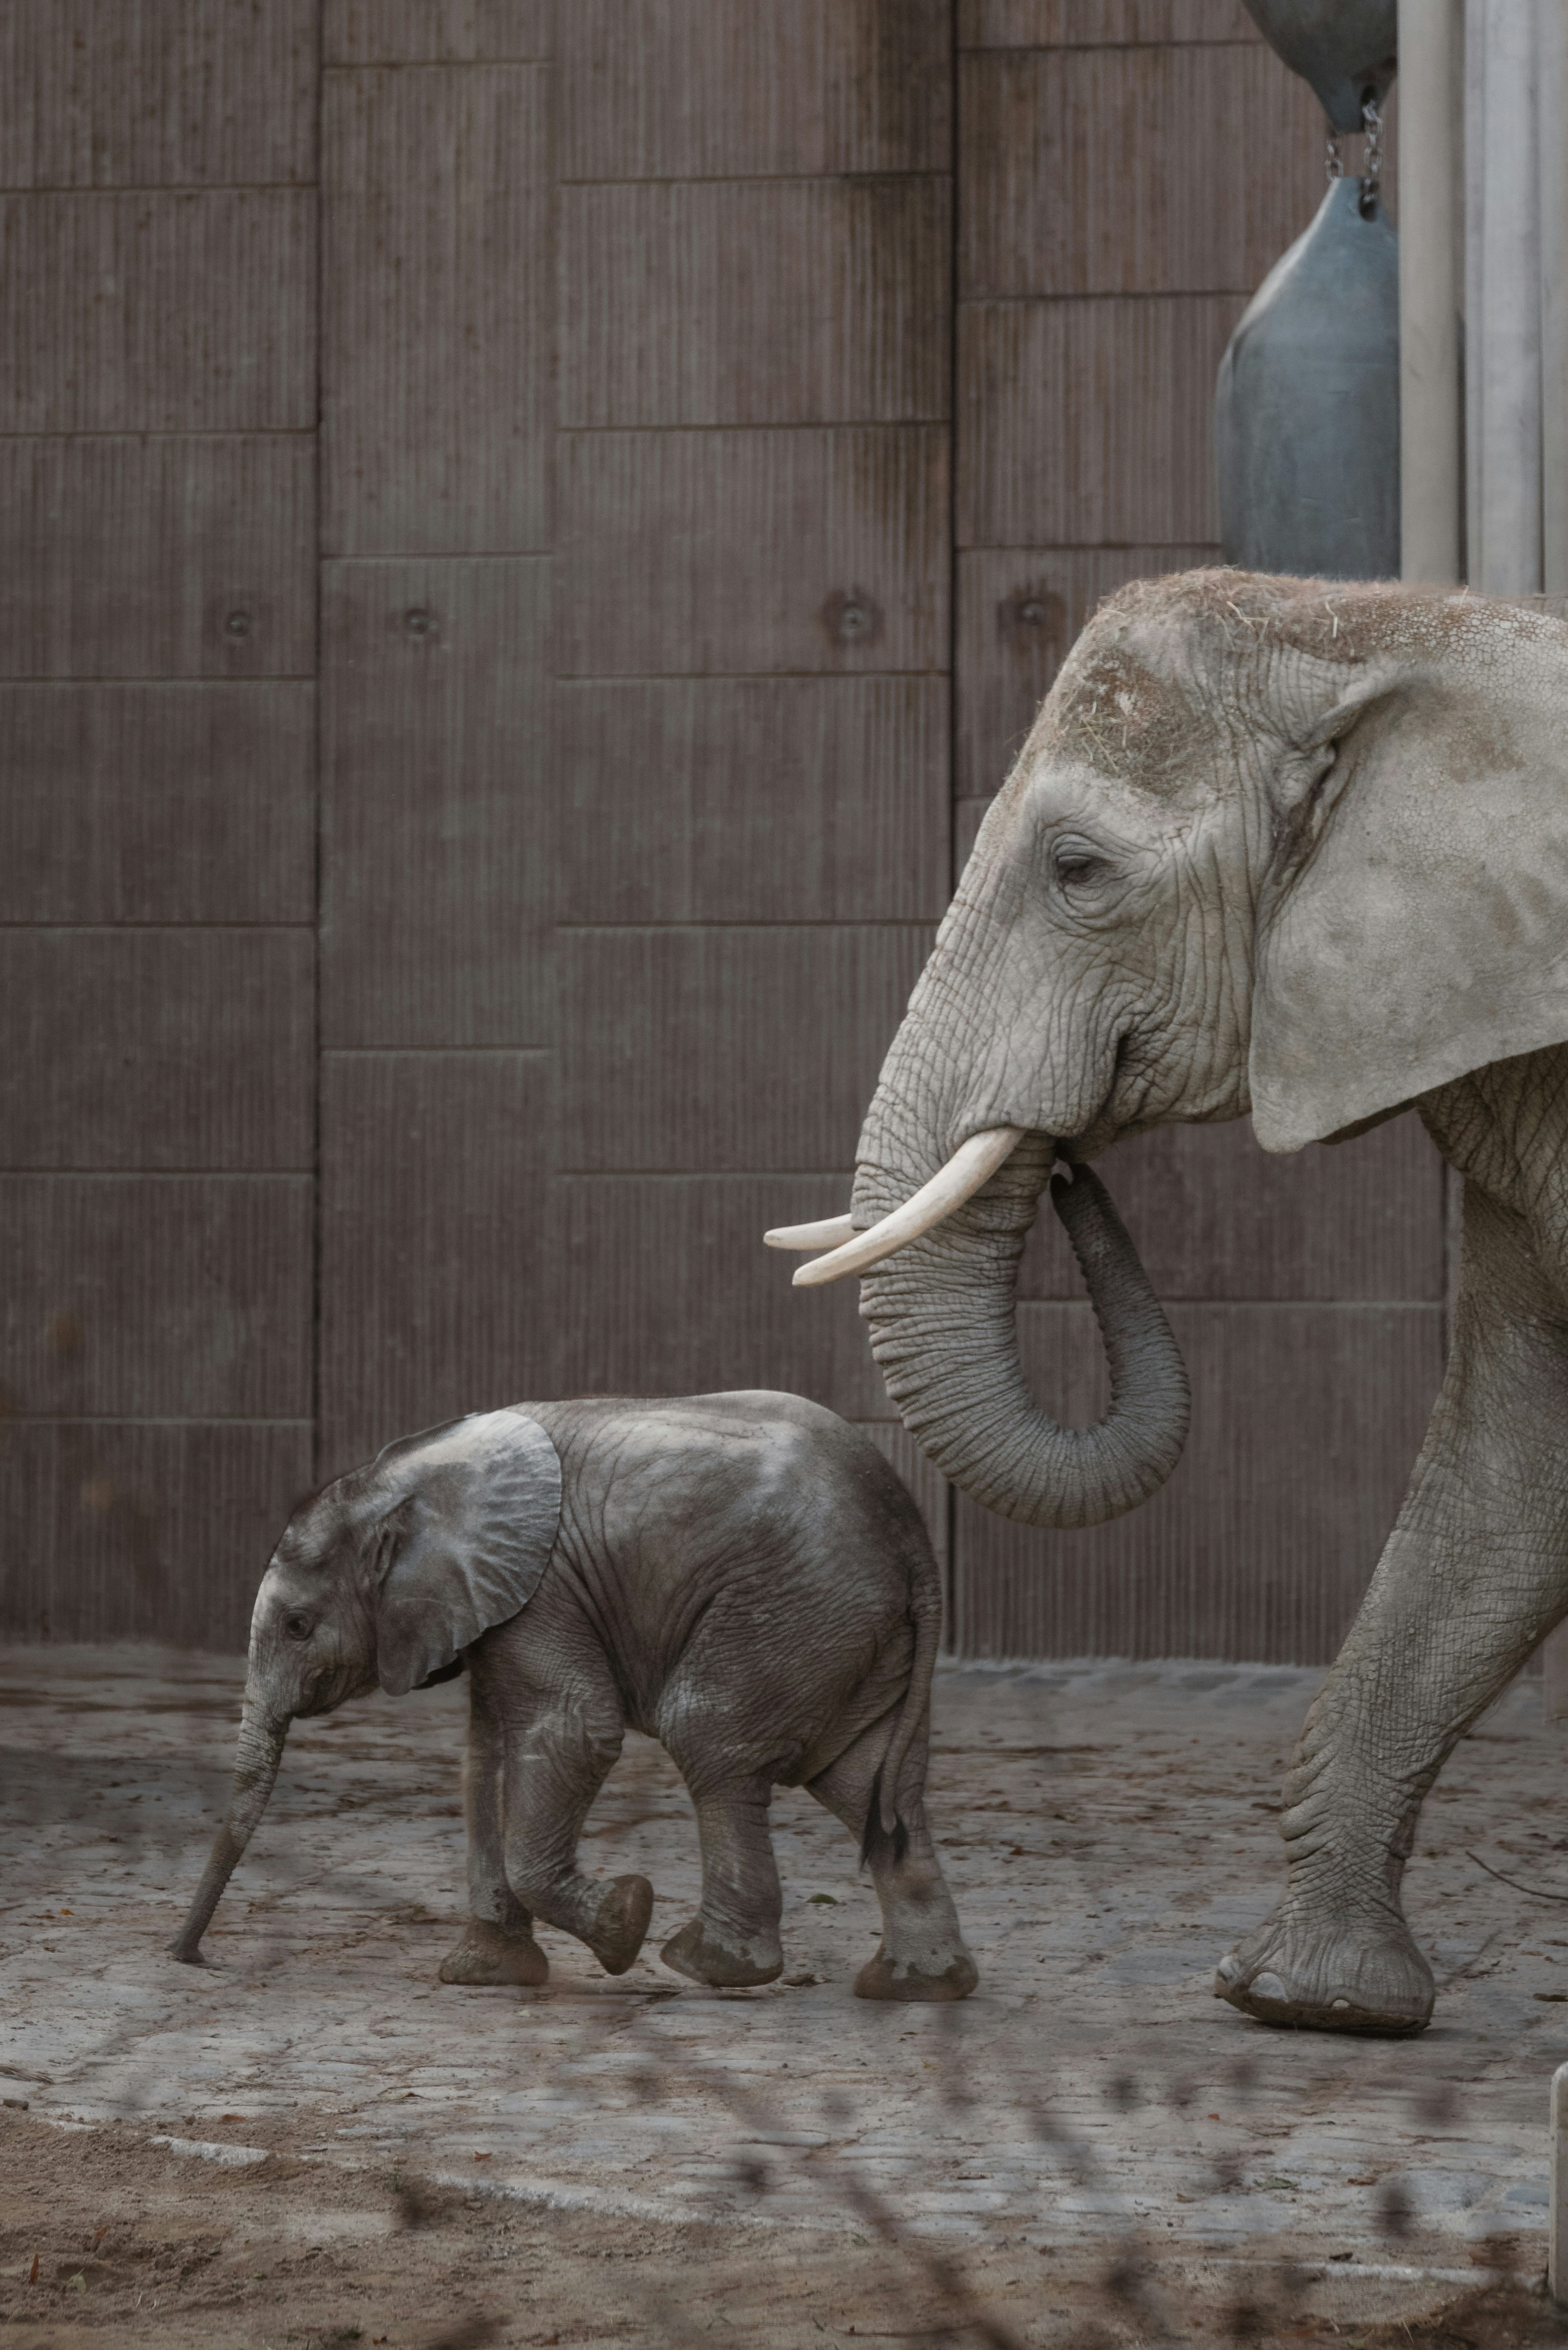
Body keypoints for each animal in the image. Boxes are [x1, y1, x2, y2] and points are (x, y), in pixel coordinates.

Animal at [171, 1391, 980, 2001]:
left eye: (298, 1625)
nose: (189, 1956)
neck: (399, 1478)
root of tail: (911, 1528)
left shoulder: (545, 1589)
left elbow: (574, 1729)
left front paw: (626, 1921)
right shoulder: (496, 1606)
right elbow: (486, 1755)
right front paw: (486, 1975)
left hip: (790, 1606)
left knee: (711, 1739)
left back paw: (708, 1965)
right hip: (849, 1626)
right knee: (870, 1782)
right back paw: (916, 1987)